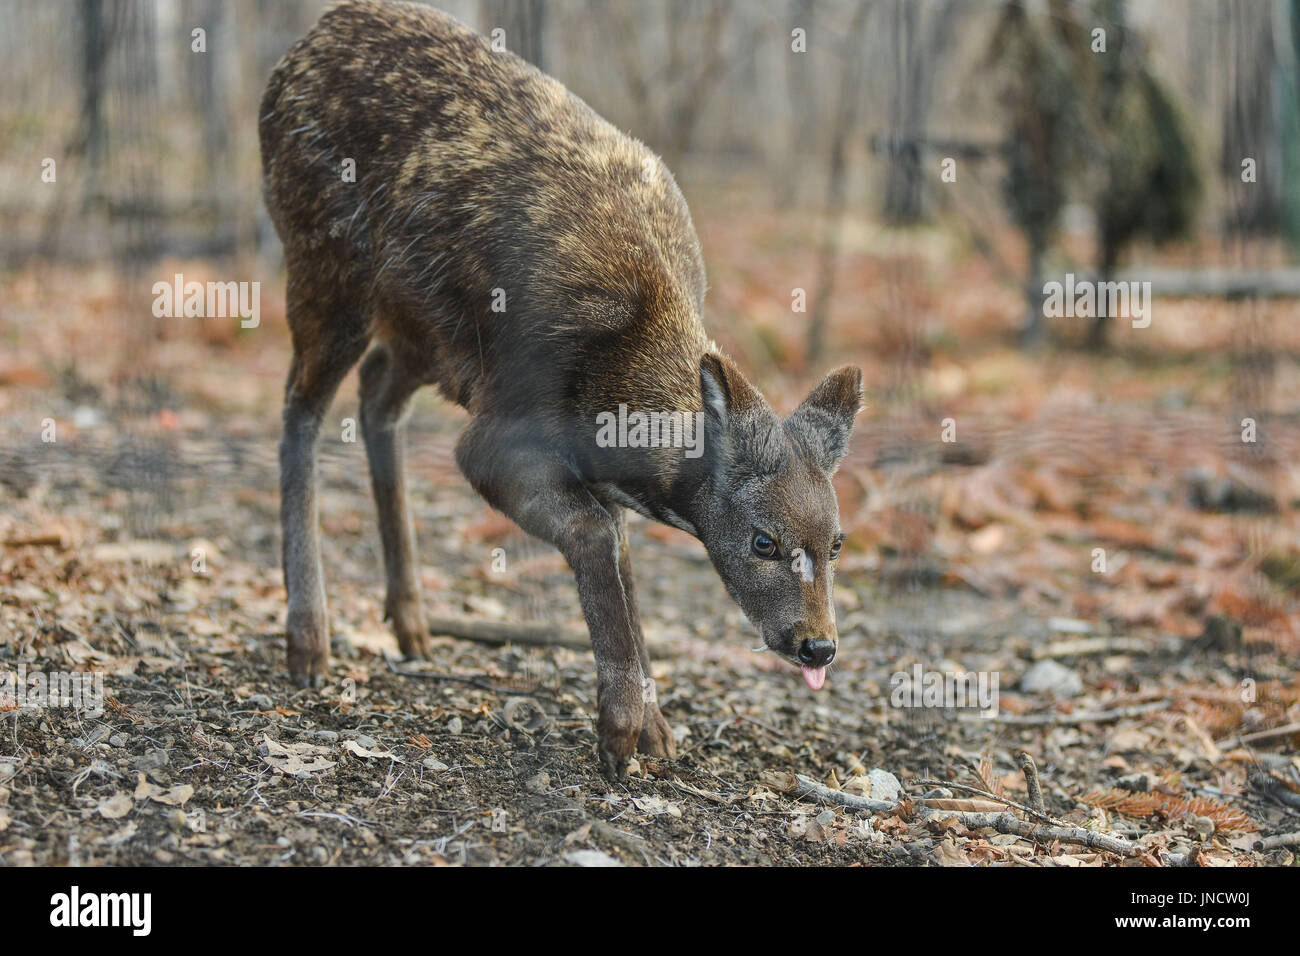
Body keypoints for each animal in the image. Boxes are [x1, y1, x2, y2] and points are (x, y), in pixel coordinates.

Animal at [259, 0, 862, 778]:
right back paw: (309, 638)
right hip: (325, 265)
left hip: (424, 333)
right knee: (299, 410)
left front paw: (654, 728)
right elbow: (596, 533)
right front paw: (620, 727)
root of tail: (297, 53)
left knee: (374, 394)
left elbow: (625, 555)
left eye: (838, 543)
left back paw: (410, 622)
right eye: (763, 540)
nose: (818, 645)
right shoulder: (493, 438)